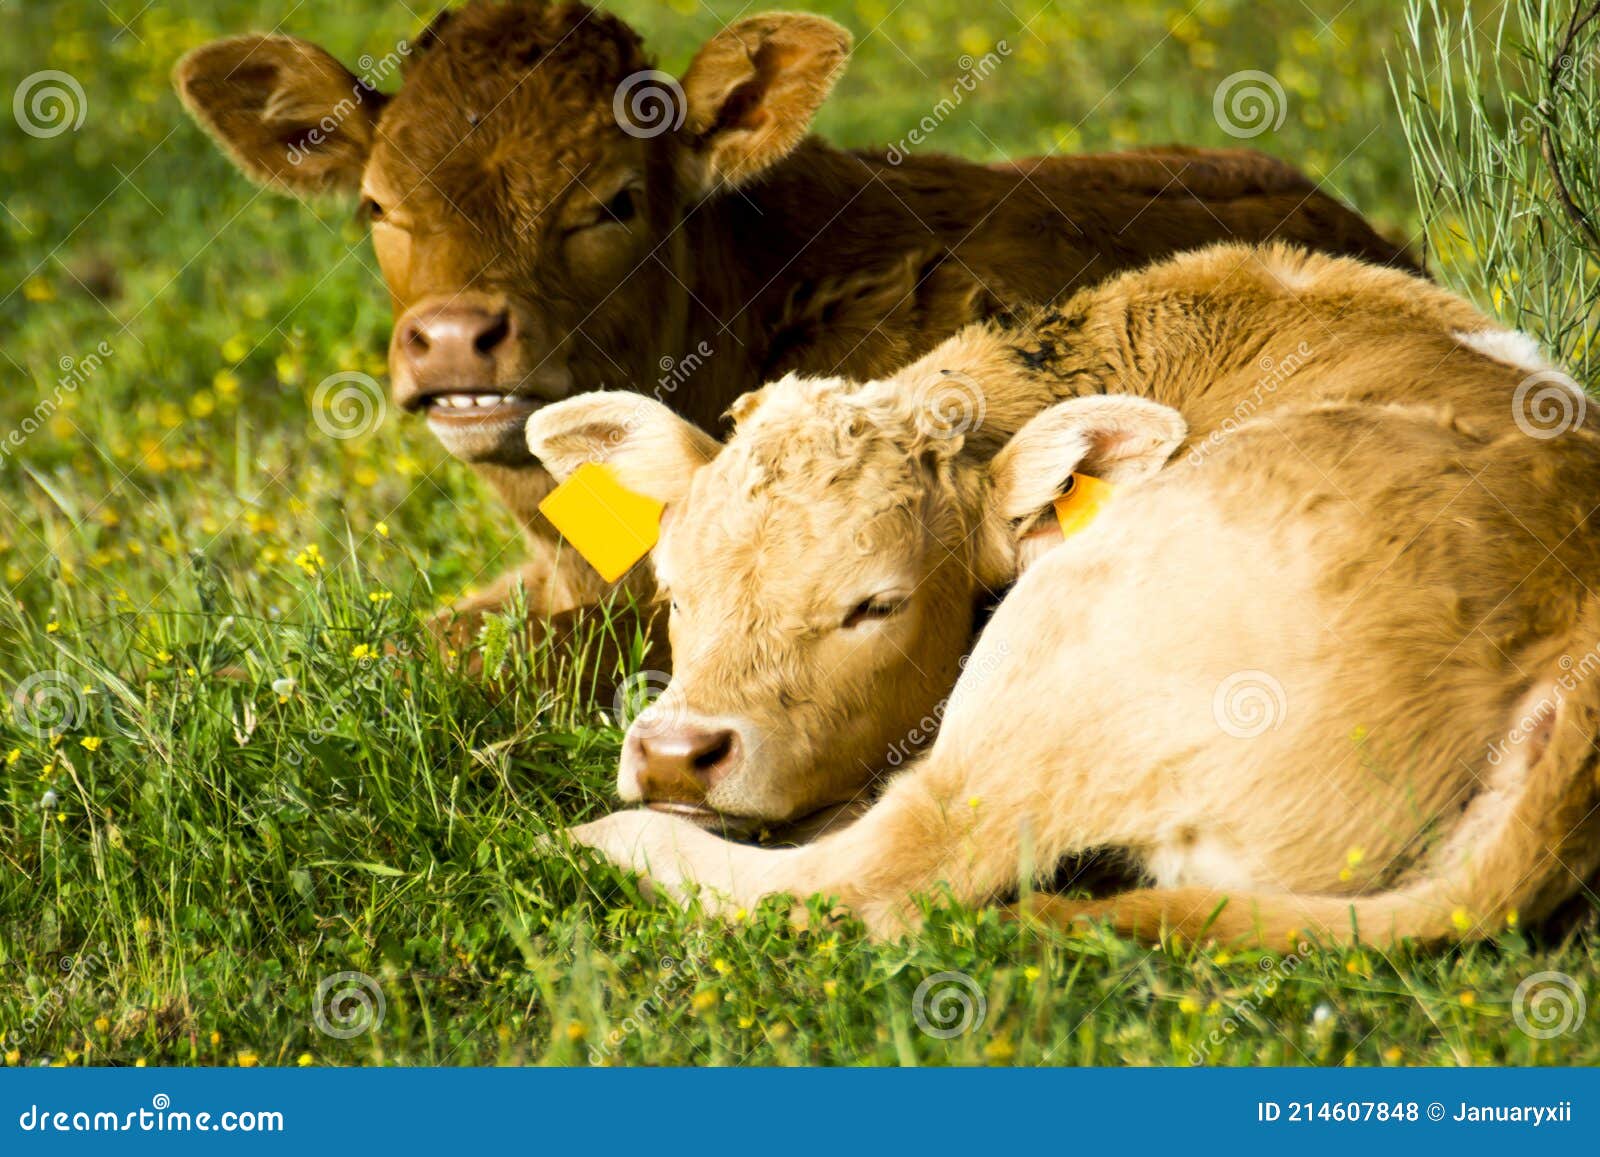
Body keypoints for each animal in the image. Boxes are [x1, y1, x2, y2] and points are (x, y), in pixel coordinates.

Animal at [525, 242, 1600, 945]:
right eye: (678, 589)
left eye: (876, 605)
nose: (676, 754)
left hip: (1053, 668)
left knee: (882, 871)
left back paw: (605, 835)